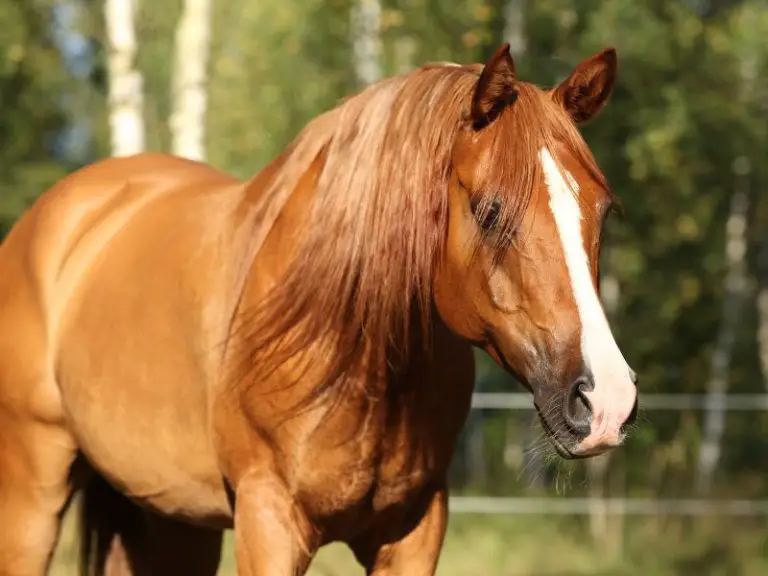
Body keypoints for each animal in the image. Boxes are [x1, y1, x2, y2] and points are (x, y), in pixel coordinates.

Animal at [0, 43, 638, 575]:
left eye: (603, 210)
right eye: (488, 210)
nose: (606, 400)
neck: (357, 359)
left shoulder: (415, 533)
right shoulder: (269, 522)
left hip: (173, 518)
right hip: (32, 495)